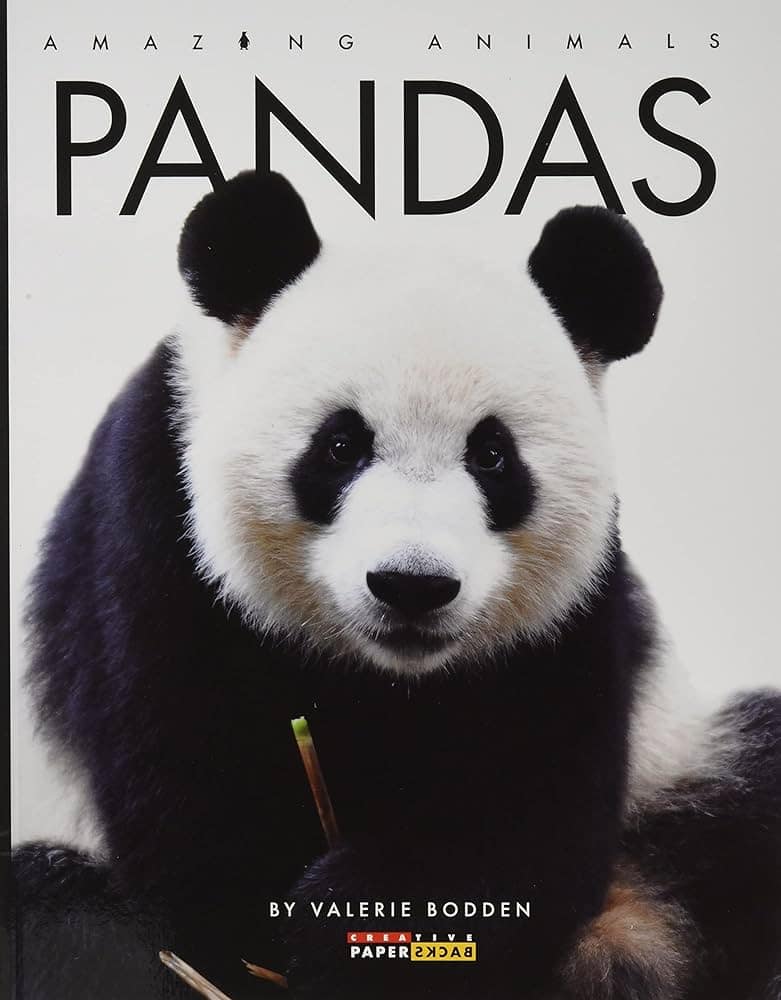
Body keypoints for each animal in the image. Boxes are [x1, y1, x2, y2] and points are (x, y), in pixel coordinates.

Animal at [12, 170, 781, 1000]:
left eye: (491, 455)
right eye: (340, 445)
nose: (411, 586)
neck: (383, 676)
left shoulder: (569, 617)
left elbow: (535, 811)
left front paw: (358, 918)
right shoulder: (151, 540)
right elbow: (194, 820)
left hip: (682, 767)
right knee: (61, 919)